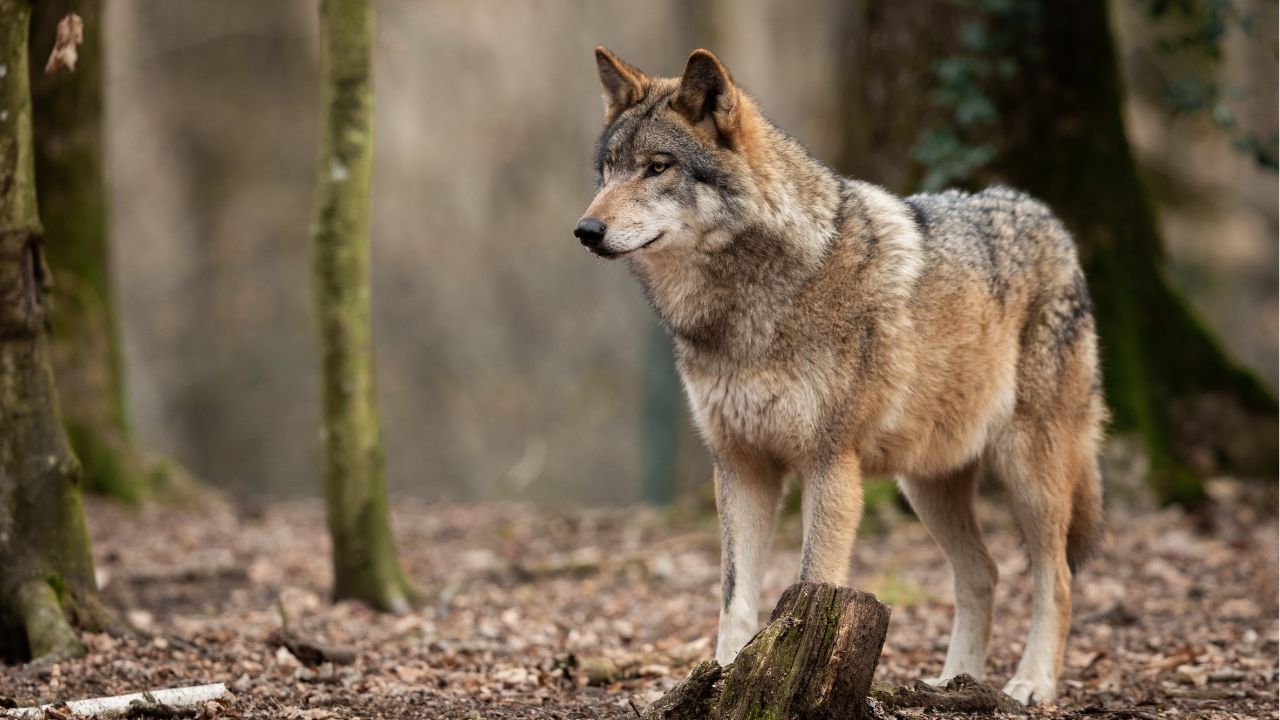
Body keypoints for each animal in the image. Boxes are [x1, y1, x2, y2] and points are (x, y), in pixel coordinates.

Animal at [574, 46, 1105, 705]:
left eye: (656, 168)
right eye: (608, 170)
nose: (585, 231)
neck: (748, 308)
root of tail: (1050, 220)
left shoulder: (830, 465)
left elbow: (812, 584)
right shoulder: (741, 465)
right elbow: (734, 599)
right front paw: (722, 681)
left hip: (1029, 472)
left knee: (1056, 578)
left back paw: (1031, 683)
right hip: (926, 484)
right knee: (983, 572)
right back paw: (952, 682)